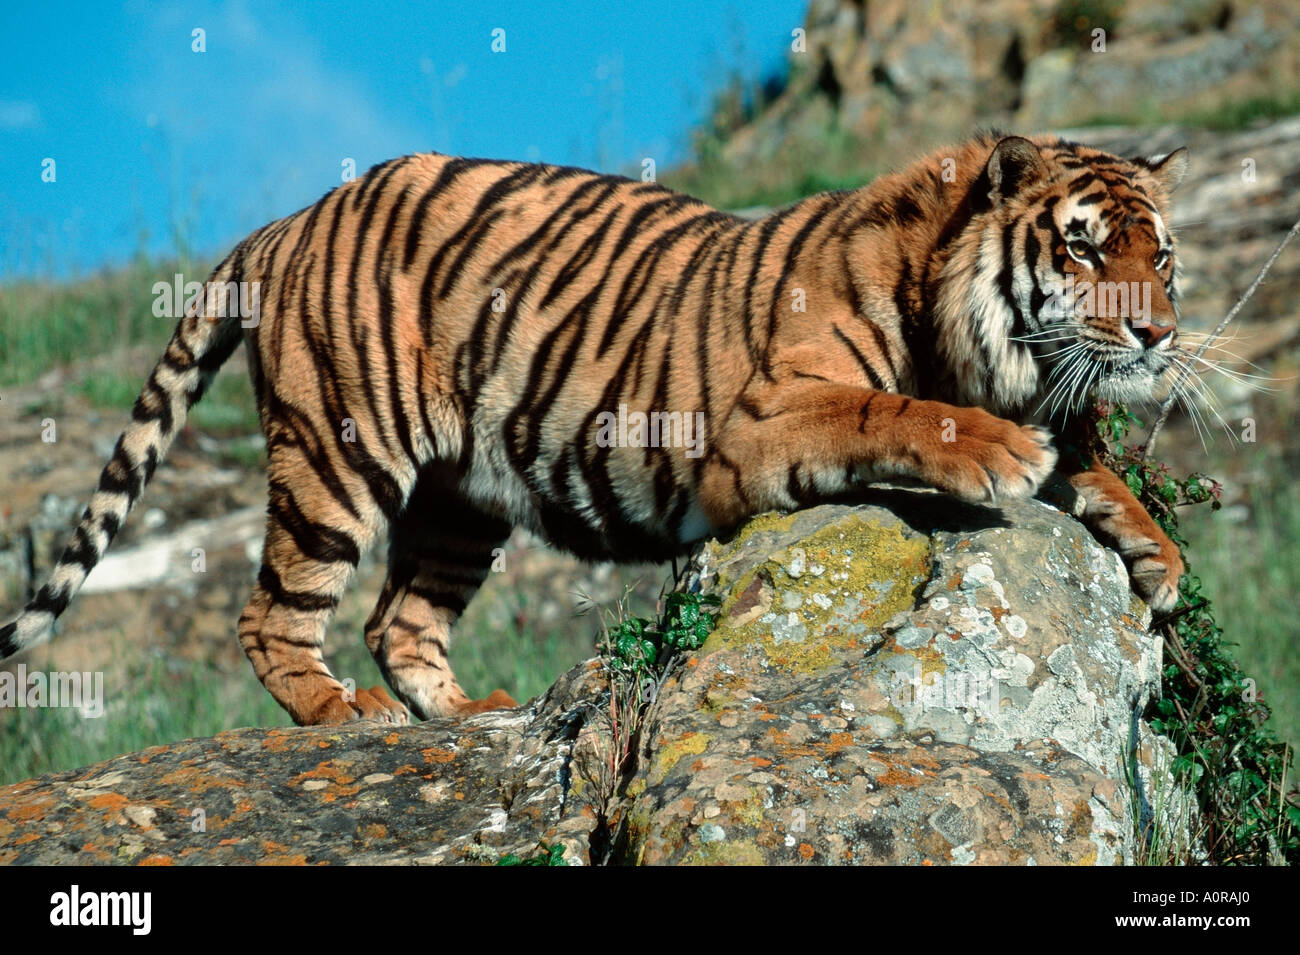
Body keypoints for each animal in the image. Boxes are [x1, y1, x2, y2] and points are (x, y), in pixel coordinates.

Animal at [0, 131, 1190, 727]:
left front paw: (1155, 552)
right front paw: (998, 452)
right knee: (273, 613)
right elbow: (894, 409)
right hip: (337, 450)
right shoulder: (759, 425)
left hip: (463, 496)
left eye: (1161, 255)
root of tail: (290, 217)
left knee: (399, 617)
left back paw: (466, 712)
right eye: (1085, 248)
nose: (1159, 335)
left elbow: (1095, 471)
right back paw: (338, 714)